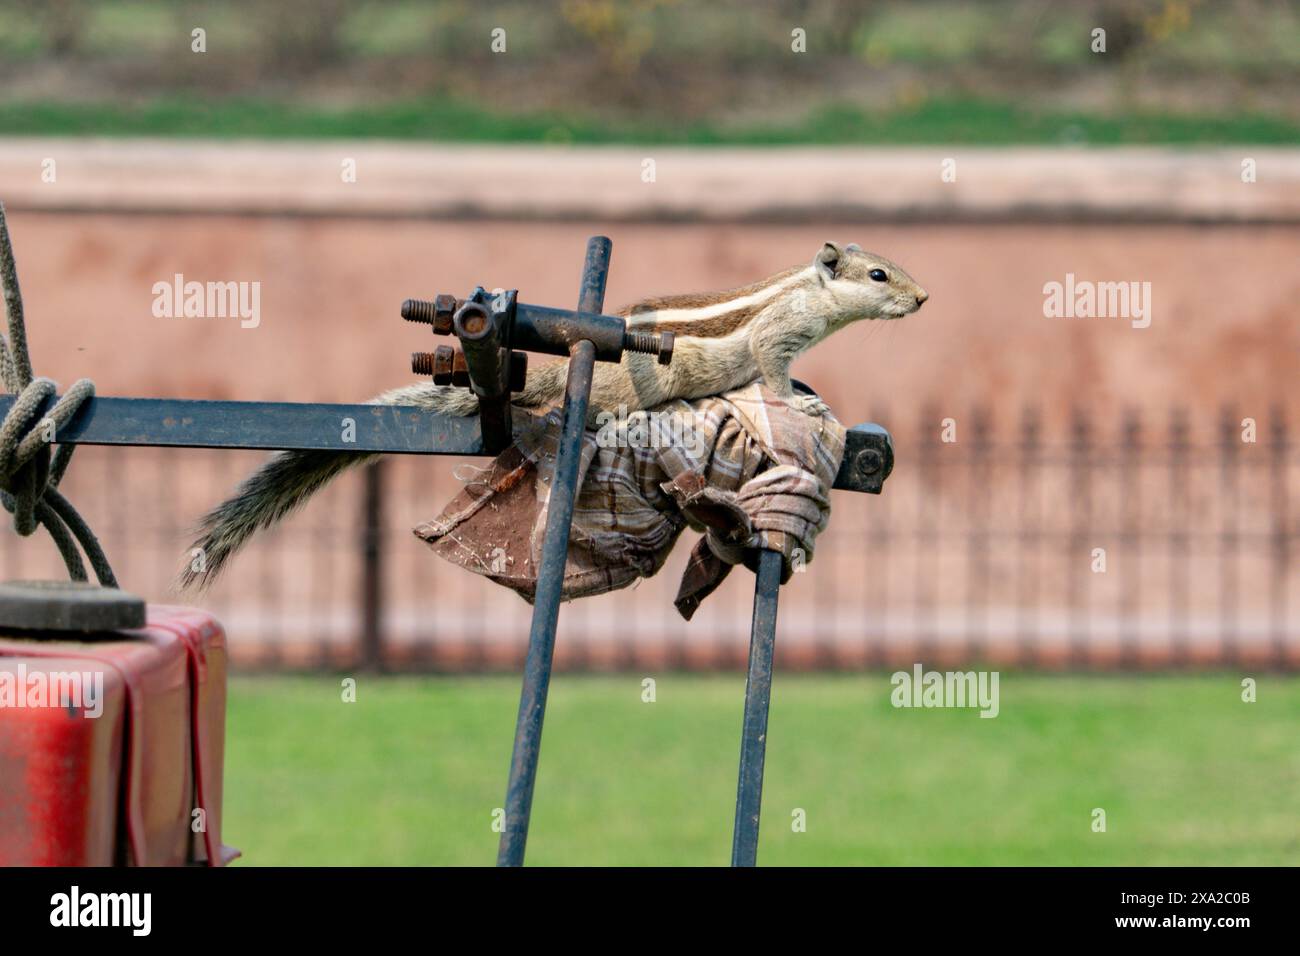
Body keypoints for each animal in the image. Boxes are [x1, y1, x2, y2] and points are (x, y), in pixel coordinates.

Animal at [179, 241, 926, 590]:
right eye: (879, 276)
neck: (811, 295)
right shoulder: (776, 335)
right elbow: (771, 368)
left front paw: (804, 387)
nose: (922, 297)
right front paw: (797, 399)